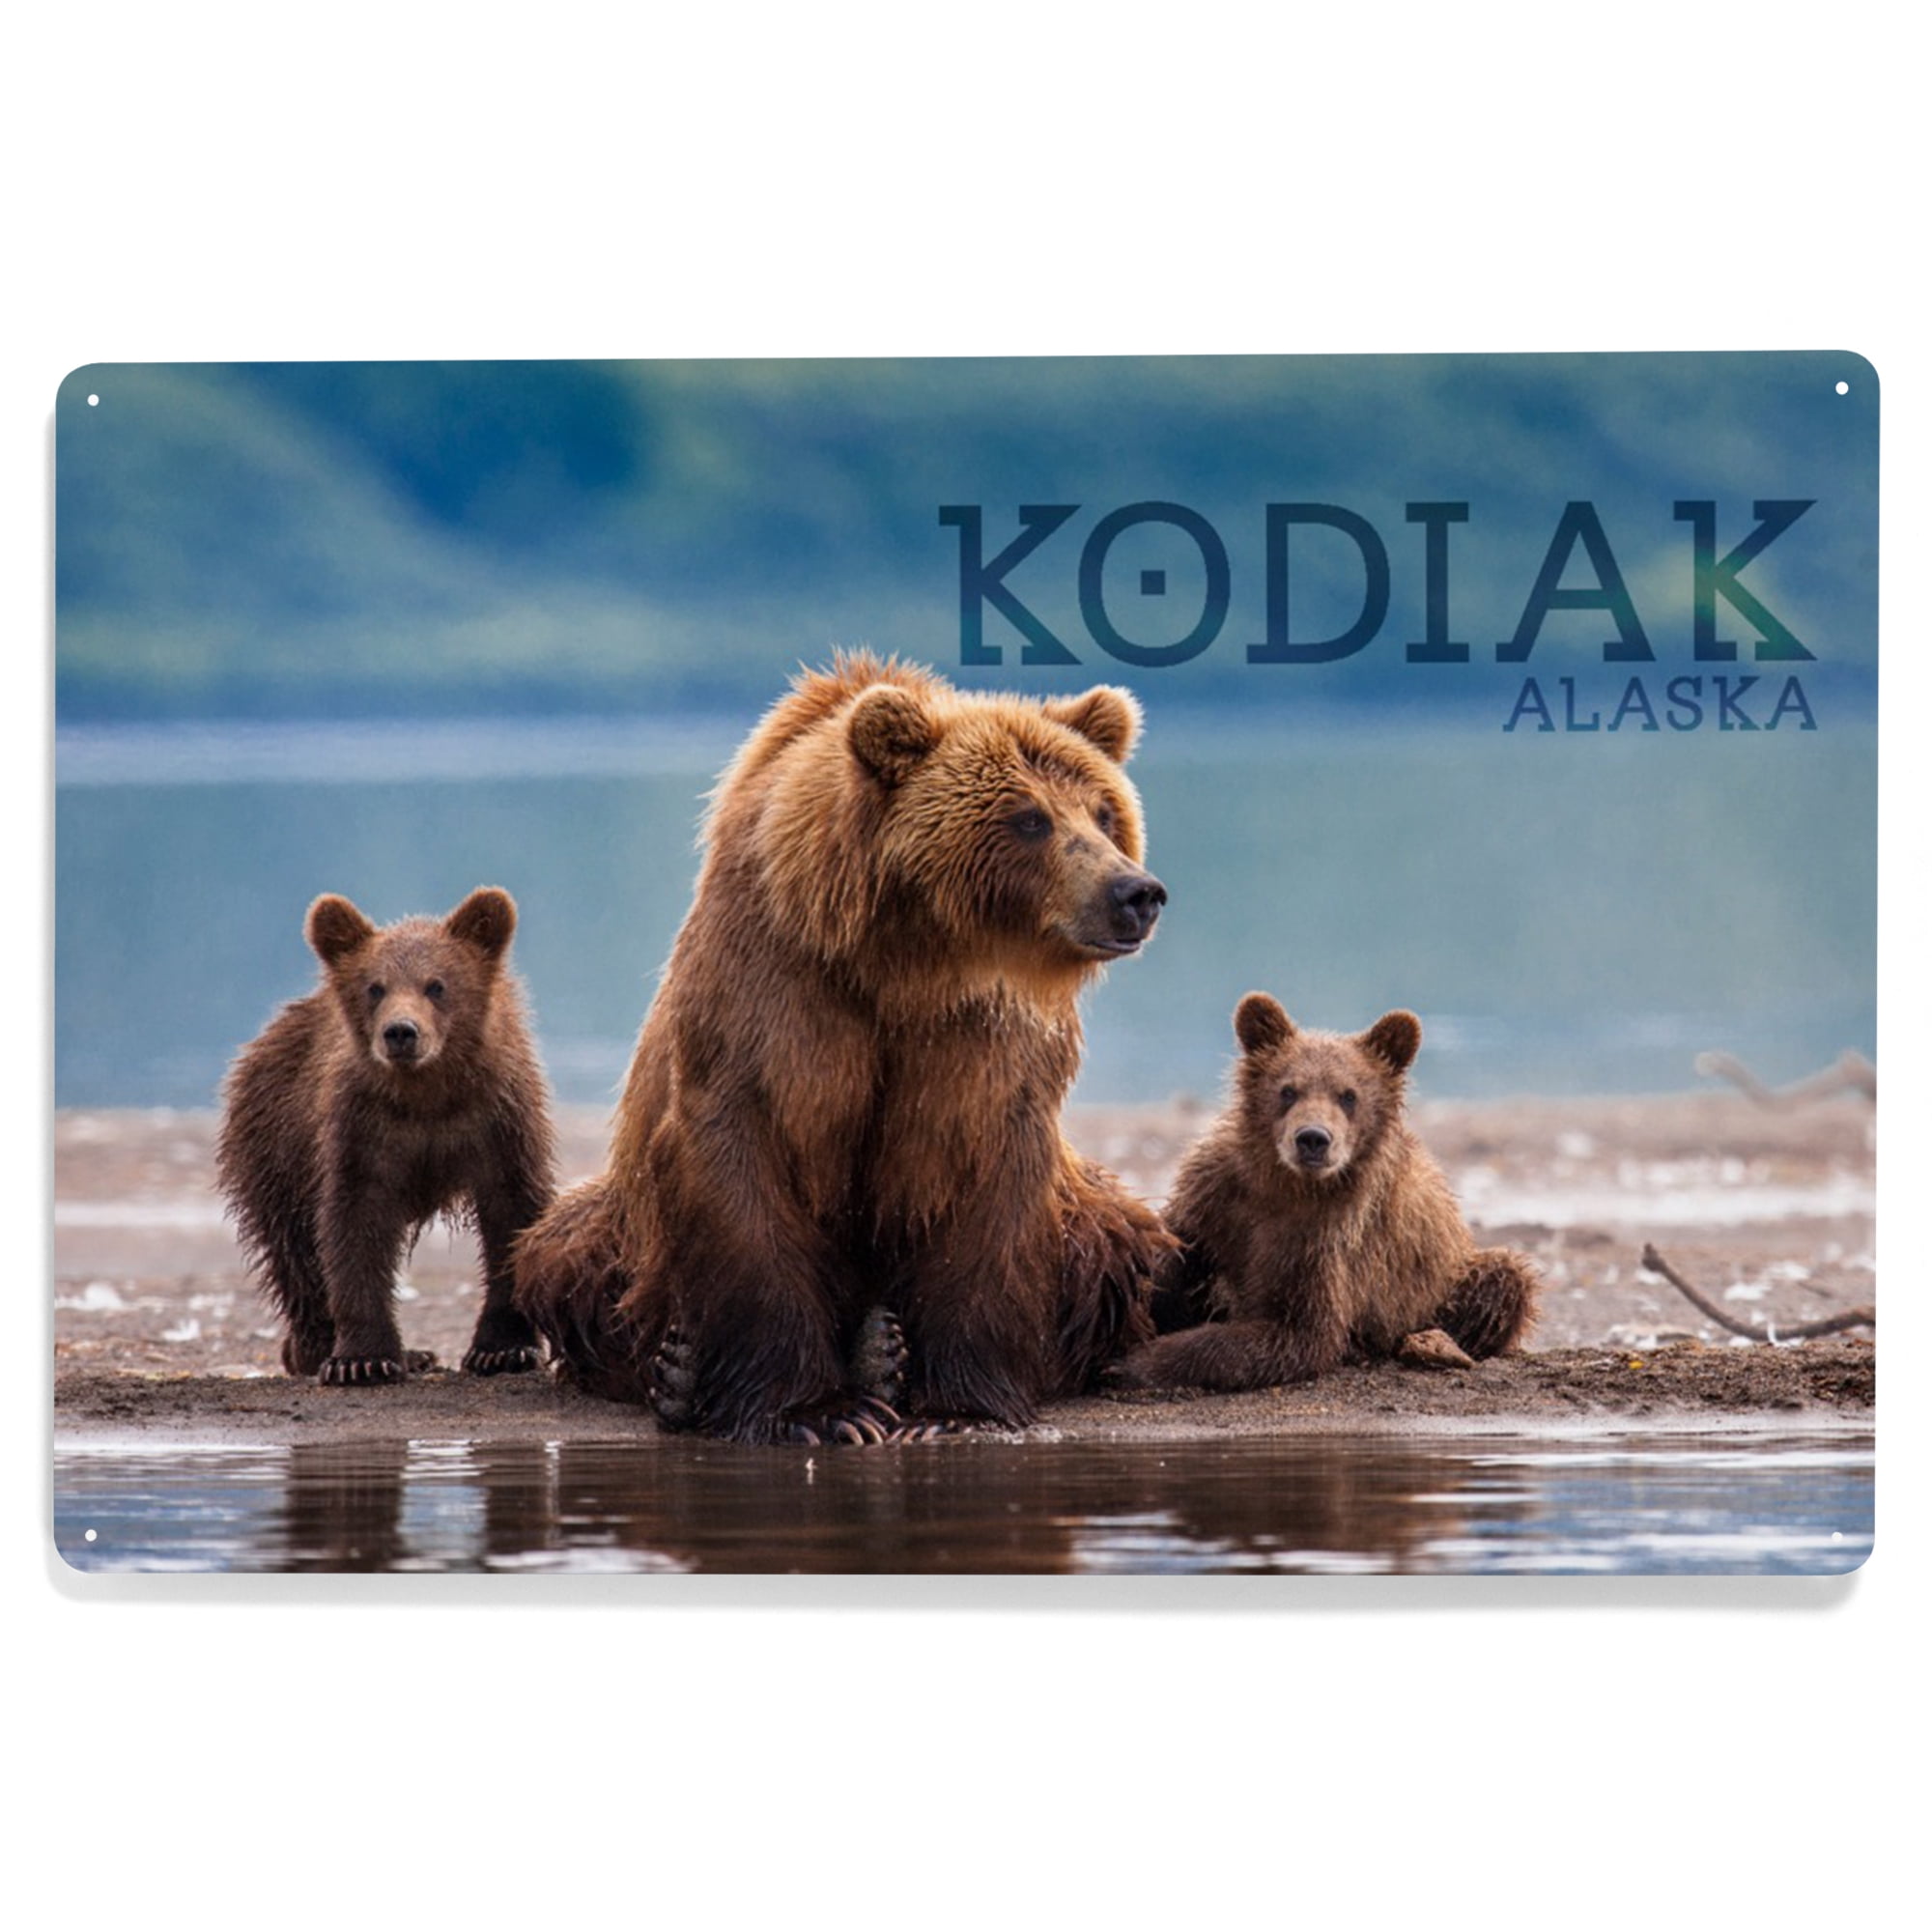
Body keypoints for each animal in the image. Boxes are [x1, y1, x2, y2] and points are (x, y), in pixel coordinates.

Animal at [216, 886, 557, 1385]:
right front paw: (363, 1359)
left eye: (437, 985)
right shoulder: (362, 1128)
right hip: (275, 1146)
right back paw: (318, 1348)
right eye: (375, 987)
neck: (428, 1094)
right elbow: (355, 1225)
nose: (401, 1032)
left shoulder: (498, 1118)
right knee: (296, 1252)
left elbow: (511, 1211)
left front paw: (503, 1349)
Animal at [513, 653, 1175, 1444]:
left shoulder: (983, 1039)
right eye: (1029, 817)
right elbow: (743, 1168)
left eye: (1104, 811)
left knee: (1120, 1237)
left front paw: (953, 1412)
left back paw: (883, 1350)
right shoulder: (774, 988)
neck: (906, 957)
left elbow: (990, 1189)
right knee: (562, 1251)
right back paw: (676, 1374)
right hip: (624, 1228)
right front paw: (817, 1412)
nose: (1135, 891)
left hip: (1090, 1216)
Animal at [1114, 994, 1538, 1391]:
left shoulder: (1323, 1240)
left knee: (1505, 1277)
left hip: (1446, 1281)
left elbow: (1298, 1332)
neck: (1284, 1184)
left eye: (1348, 1095)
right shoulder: (1215, 1197)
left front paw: (1135, 1362)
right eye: (1287, 1090)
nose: (1313, 1138)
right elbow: (1170, 1251)